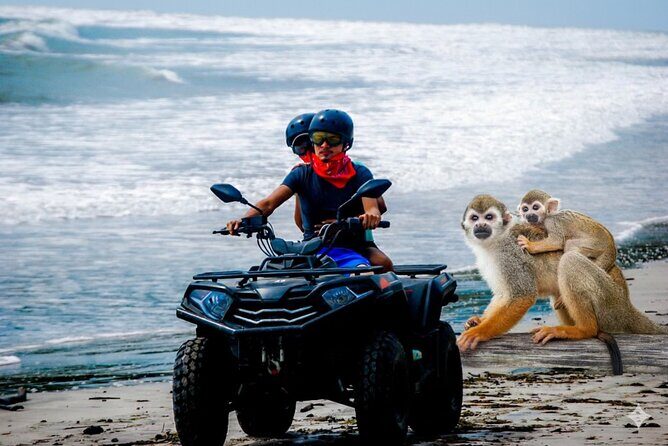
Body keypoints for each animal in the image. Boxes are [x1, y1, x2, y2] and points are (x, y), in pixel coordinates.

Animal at [457, 194, 667, 352]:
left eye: (489, 218)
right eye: (475, 218)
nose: (480, 226)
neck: (495, 241)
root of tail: (627, 305)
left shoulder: (509, 255)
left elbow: (521, 296)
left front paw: (480, 332)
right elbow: (503, 295)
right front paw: (478, 321)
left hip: (611, 304)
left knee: (569, 260)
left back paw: (583, 330)